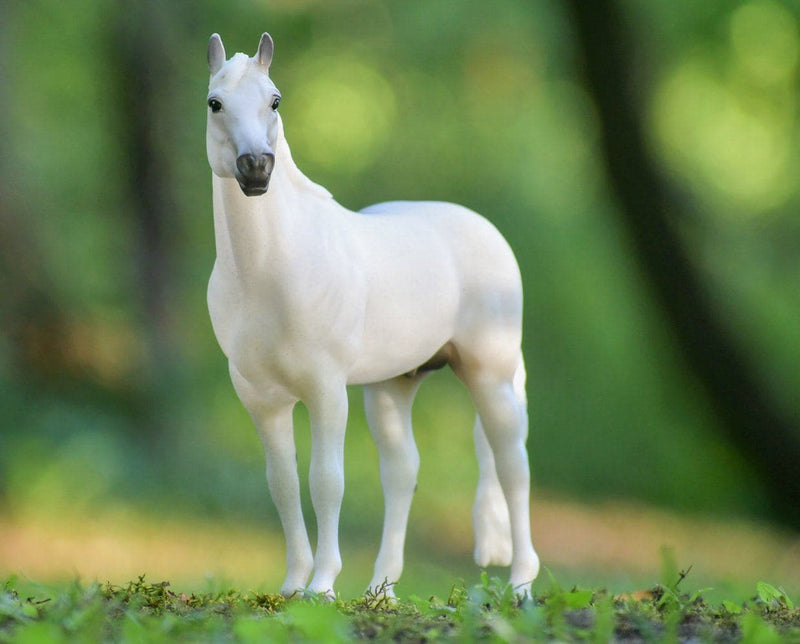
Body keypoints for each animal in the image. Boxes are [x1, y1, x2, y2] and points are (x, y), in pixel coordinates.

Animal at [205, 32, 540, 598]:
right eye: (215, 103)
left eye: (275, 100)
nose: (256, 169)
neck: (271, 272)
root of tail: (485, 230)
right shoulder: (260, 398)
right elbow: (283, 483)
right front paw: (293, 585)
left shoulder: (326, 389)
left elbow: (326, 480)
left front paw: (322, 586)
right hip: (393, 384)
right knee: (402, 471)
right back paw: (381, 589)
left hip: (489, 373)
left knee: (512, 465)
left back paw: (520, 585)